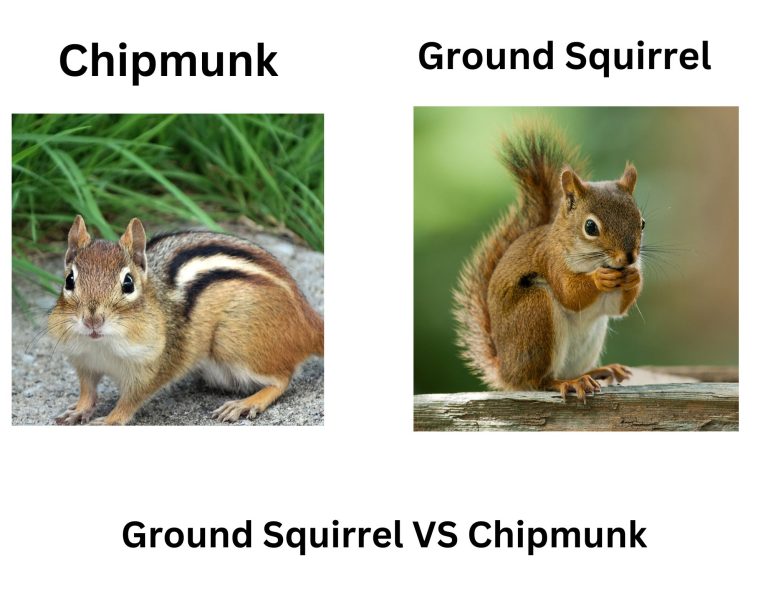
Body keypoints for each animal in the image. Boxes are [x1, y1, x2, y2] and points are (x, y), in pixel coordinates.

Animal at [48, 215, 324, 425]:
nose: (92, 320)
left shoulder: (154, 367)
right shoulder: (84, 361)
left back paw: (245, 403)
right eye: (69, 281)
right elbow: (87, 390)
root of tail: (307, 319)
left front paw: (109, 419)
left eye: (128, 283)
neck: (102, 347)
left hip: (233, 342)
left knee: (282, 378)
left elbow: (130, 401)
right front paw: (78, 410)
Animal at [453, 124, 643, 401]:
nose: (629, 257)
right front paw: (599, 278)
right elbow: (569, 293)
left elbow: (616, 308)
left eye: (642, 222)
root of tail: (506, 372)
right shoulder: (552, 262)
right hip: (536, 313)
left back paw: (598, 371)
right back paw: (569, 383)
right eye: (590, 227)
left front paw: (635, 276)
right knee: (539, 381)